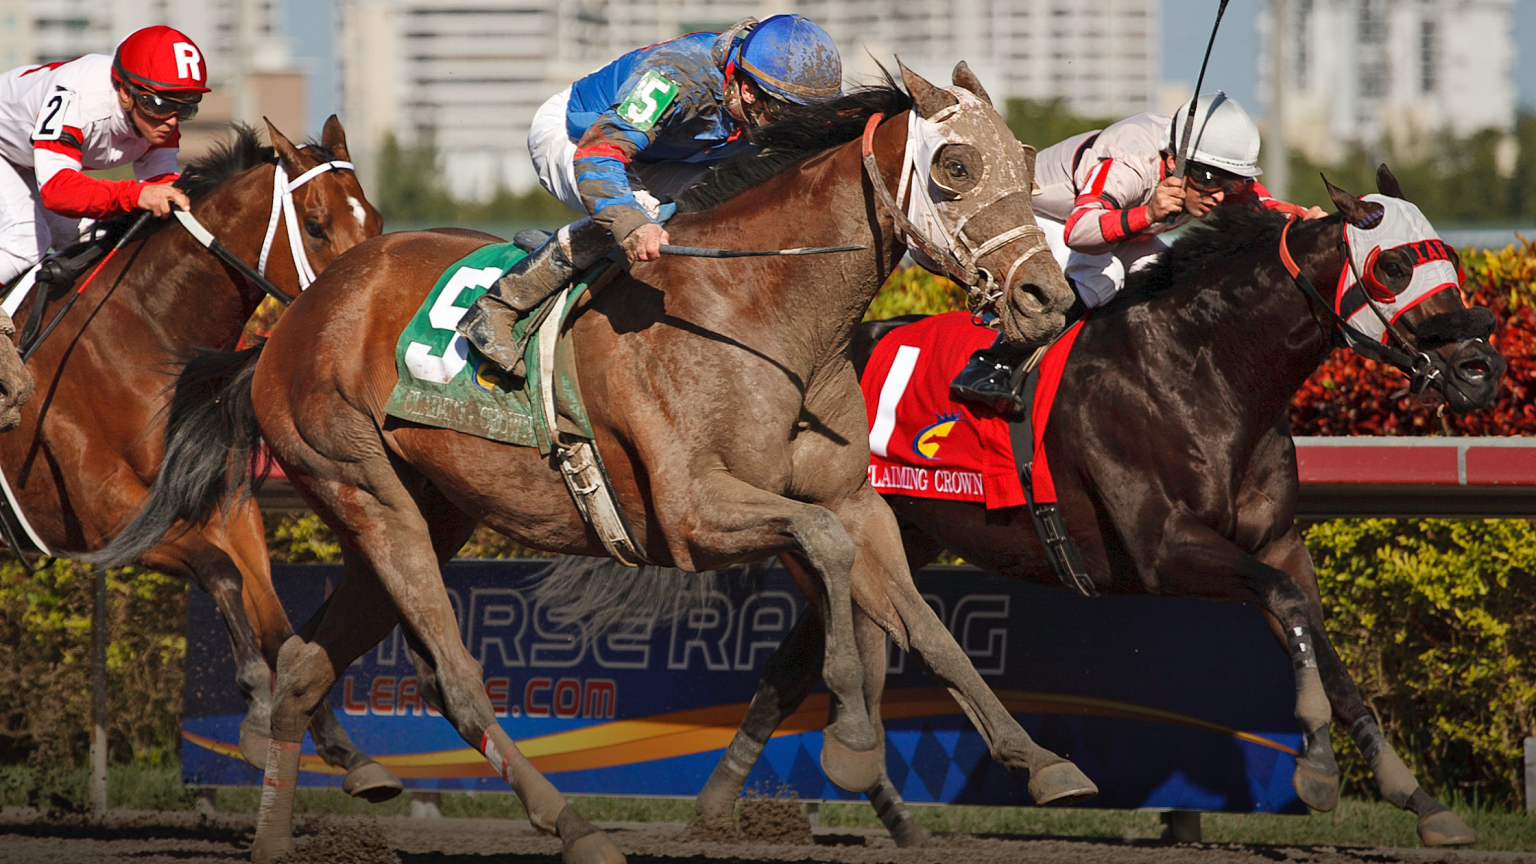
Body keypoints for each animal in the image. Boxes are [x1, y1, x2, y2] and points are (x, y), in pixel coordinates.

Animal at [4, 119, 399, 798]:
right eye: (316, 225)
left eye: (373, 220)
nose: (362, 312)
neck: (143, 336)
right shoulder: (104, 522)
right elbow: (220, 573)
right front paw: (259, 709)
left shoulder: (223, 506)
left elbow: (276, 618)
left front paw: (340, 746)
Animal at [95, 63, 1085, 863]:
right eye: (953, 168)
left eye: (1025, 156)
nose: (1048, 296)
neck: (758, 309)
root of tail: (288, 325)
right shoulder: (692, 516)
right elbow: (826, 554)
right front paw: (850, 738)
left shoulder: (857, 500)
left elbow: (927, 624)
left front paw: (1040, 763)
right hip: (364, 491)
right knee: (454, 676)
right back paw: (574, 828)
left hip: (427, 510)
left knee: (304, 665)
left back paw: (274, 839)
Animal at [694, 169, 1506, 847]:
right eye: (1393, 267)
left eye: (1450, 259)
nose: (1481, 368)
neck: (1204, 368)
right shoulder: (1163, 550)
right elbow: (1286, 606)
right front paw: (1317, 770)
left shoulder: (1277, 541)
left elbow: (1324, 647)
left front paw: (1419, 800)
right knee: (843, 661)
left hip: (896, 538)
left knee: (798, 666)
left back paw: (758, 801)